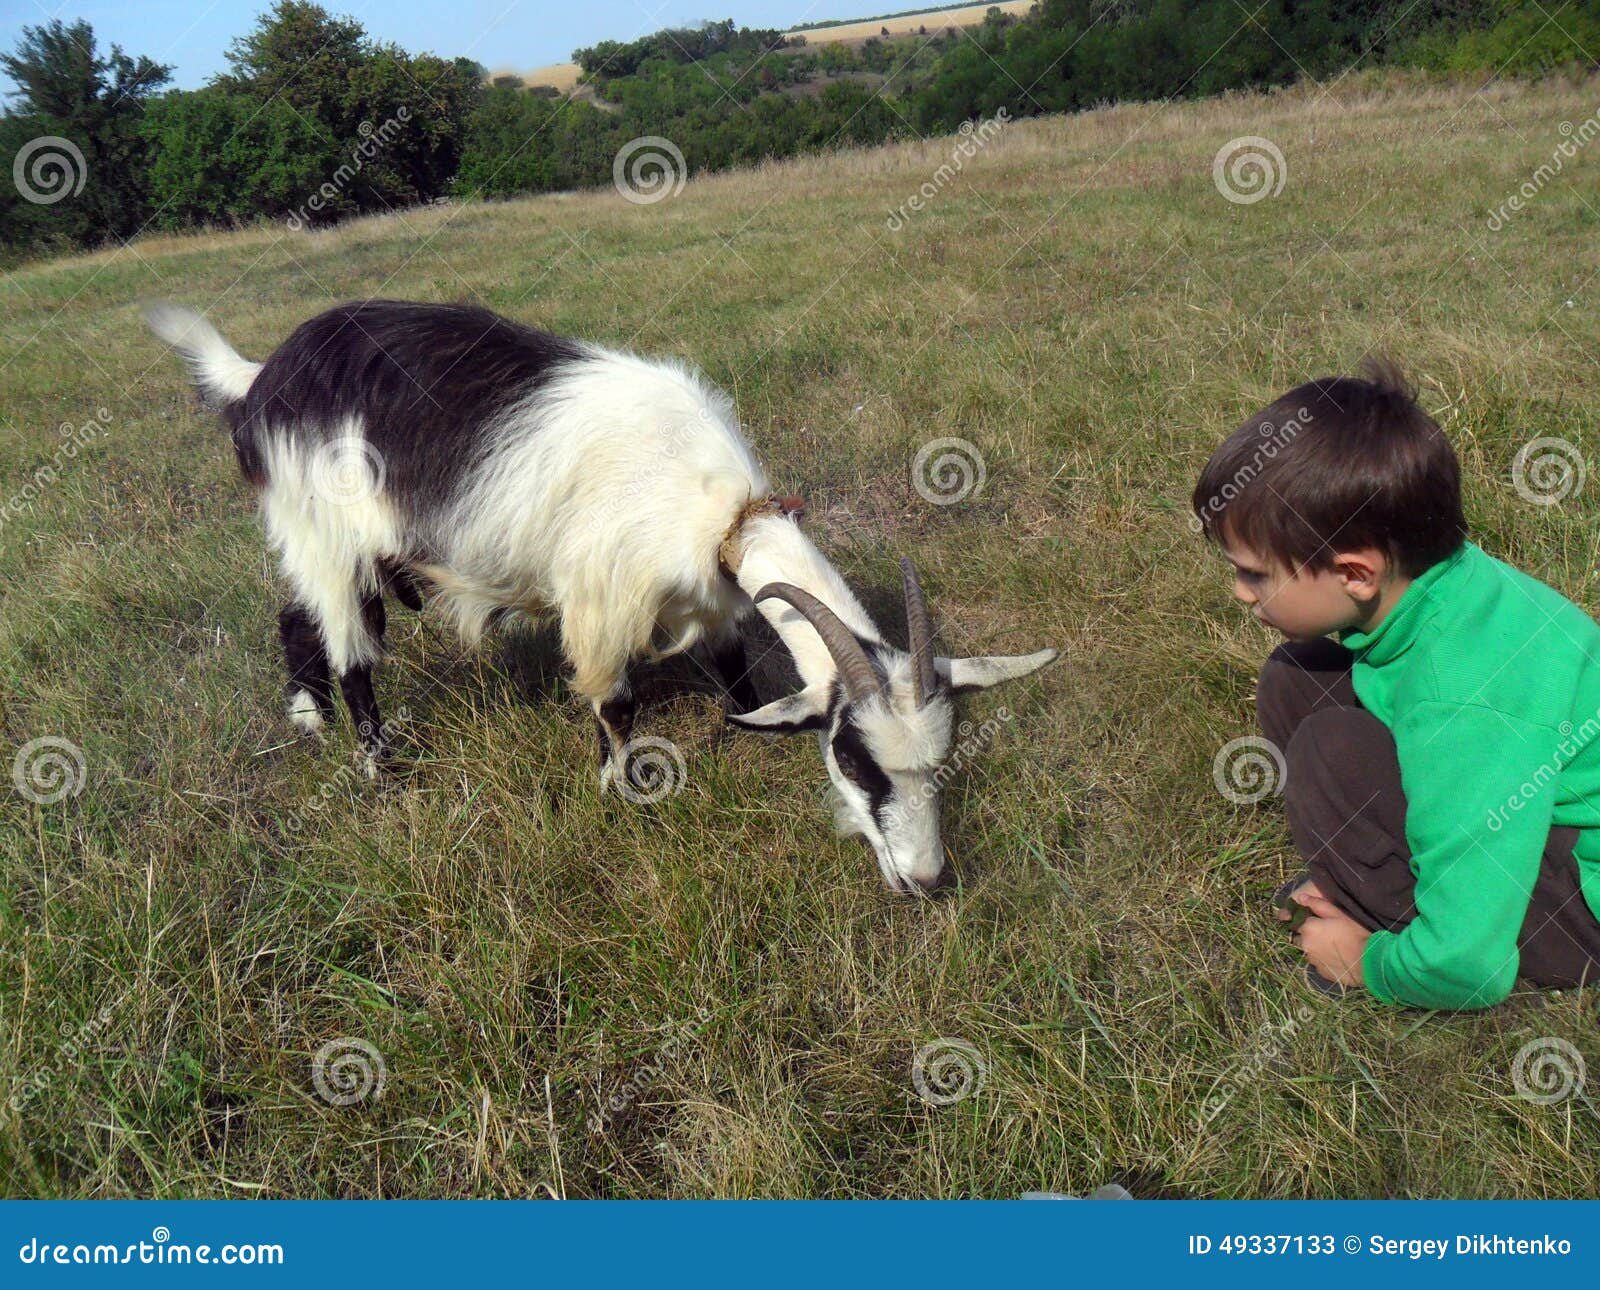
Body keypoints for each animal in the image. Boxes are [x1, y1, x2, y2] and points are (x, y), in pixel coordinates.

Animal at [144, 299, 1056, 892]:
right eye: (857, 761)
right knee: (351, 650)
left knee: (298, 614)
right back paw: (378, 767)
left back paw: (308, 716)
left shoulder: (712, 600)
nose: (927, 879)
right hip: (327, 532)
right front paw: (621, 790)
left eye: (941, 760)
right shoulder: (602, 600)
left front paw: (744, 727)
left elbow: (739, 681)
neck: (712, 505)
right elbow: (614, 704)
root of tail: (263, 374)